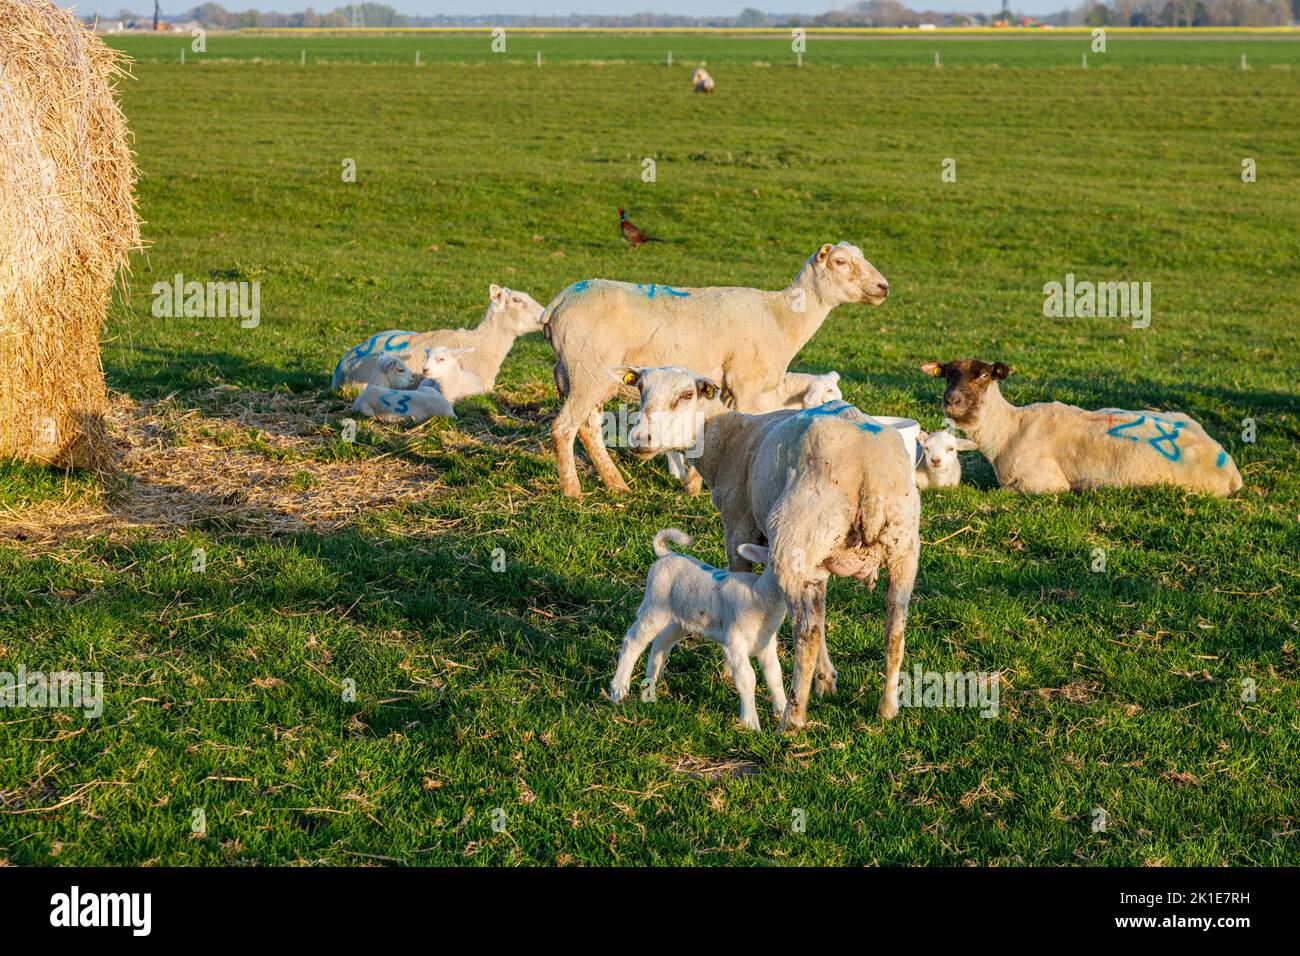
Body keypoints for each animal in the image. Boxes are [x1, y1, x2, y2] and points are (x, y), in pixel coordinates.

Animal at [542, 242, 889, 498]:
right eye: (840, 261)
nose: (883, 287)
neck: (783, 317)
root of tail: (557, 303)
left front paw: (694, 485)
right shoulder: (747, 383)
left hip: (587, 377)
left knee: (588, 428)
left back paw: (617, 485)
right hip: (587, 371)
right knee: (564, 427)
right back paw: (572, 491)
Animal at [608, 529, 787, 731]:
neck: (758, 597)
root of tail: (668, 554)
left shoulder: (766, 645)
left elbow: (774, 676)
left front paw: (782, 712)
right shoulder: (734, 643)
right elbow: (747, 678)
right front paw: (750, 723)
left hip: (680, 617)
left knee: (662, 640)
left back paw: (653, 679)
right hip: (654, 605)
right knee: (633, 641)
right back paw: (619, 688)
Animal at [920, 359, 1243, 496]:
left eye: (985, 375)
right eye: (946, 374)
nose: (951, 400)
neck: (1010, 428)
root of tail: (1231, 470)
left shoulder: (1043, 483)